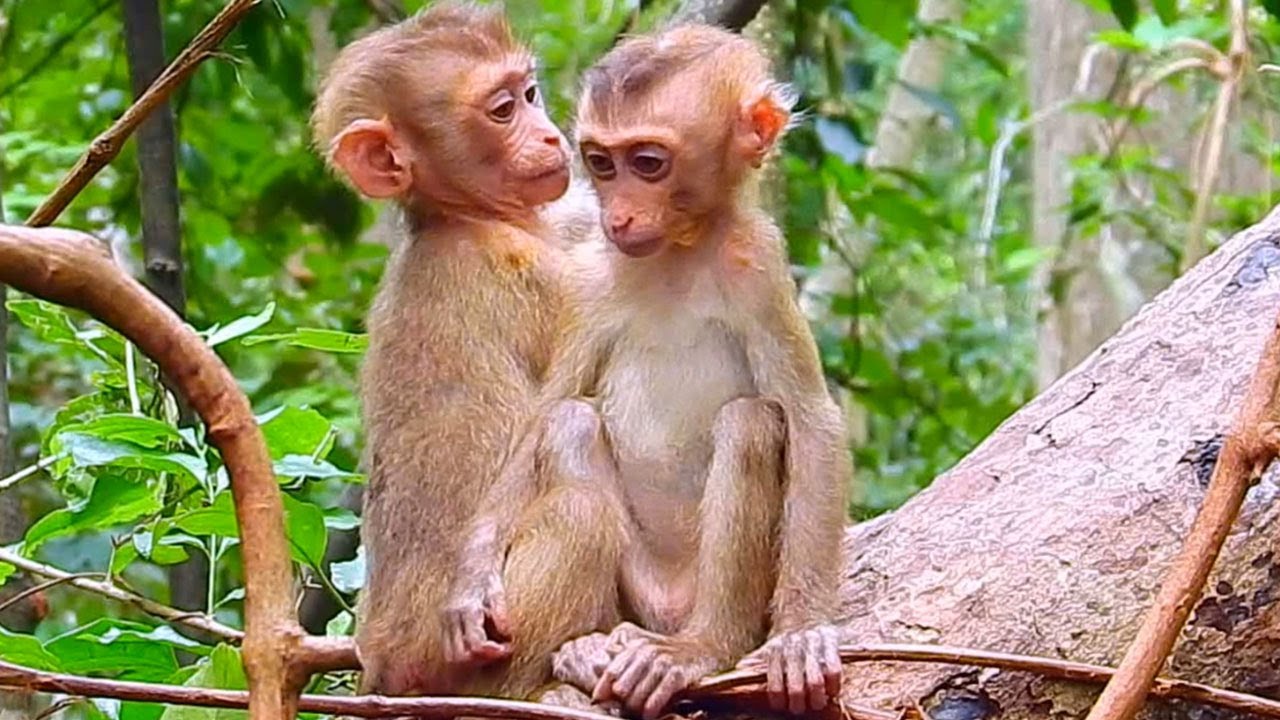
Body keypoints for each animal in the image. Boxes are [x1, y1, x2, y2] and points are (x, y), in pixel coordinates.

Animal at [311, 3, 622, 700]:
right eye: (502, 110)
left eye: (529, 94)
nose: (550, 137)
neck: (467, 217)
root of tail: (384, 666)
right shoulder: (543, 279)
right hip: (455, 663)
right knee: (582, 514)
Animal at [445, 23, 849, 720]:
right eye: (601, 163)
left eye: (649, 164)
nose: (619, 215)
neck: (677, 255)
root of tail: (663, 614)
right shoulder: (588, 278)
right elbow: (546, 410)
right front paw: (472, 581)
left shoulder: (760, 266)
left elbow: (810, 420)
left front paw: (800, 634)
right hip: (636, 586)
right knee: (571, 421)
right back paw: (587, 651)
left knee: (749, 423)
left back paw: (697, 650)